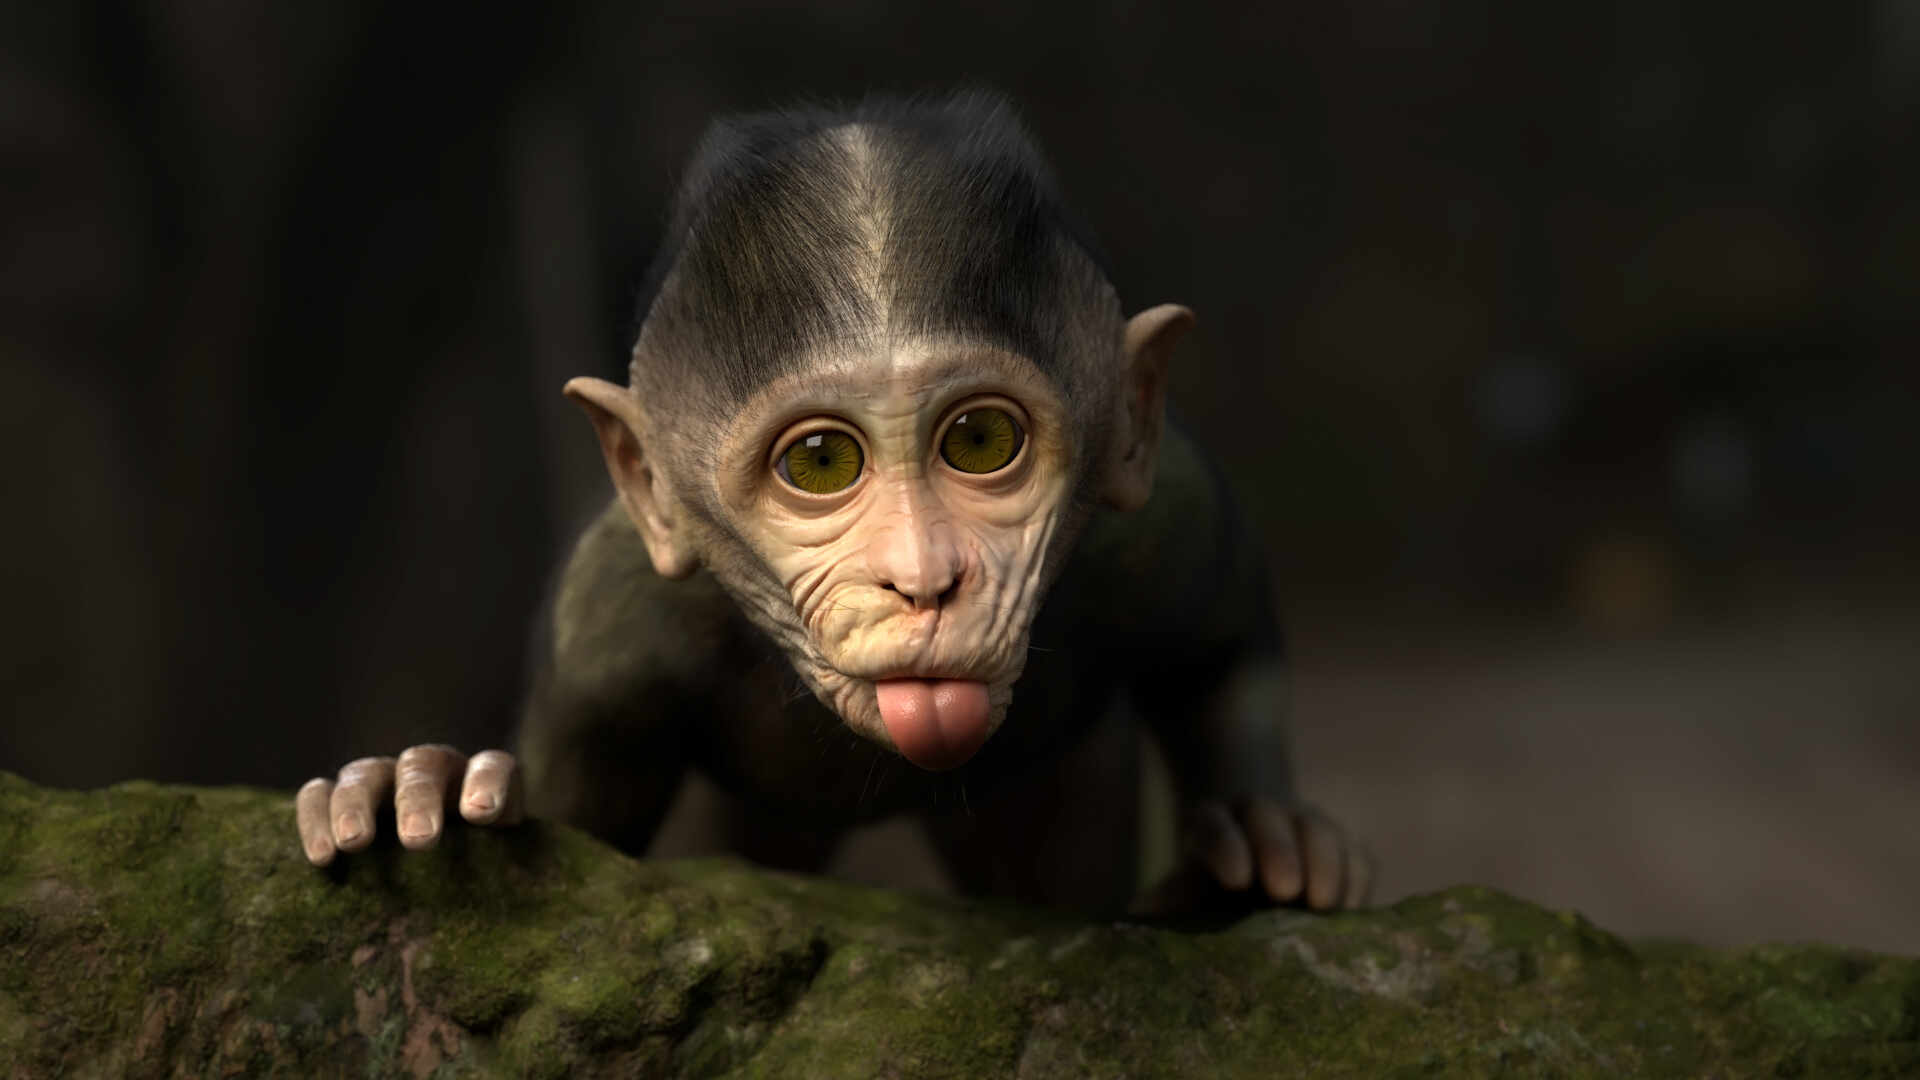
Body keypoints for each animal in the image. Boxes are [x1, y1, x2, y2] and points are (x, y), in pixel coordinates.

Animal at [294, 90, 1372, 918]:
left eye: (980, 442)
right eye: (819, 461)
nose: (922, 582)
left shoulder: (1152, 525)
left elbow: (1221, 648)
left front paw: (1260, 843)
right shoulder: (613, 626)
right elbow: (573, 820)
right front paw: (415, 789)